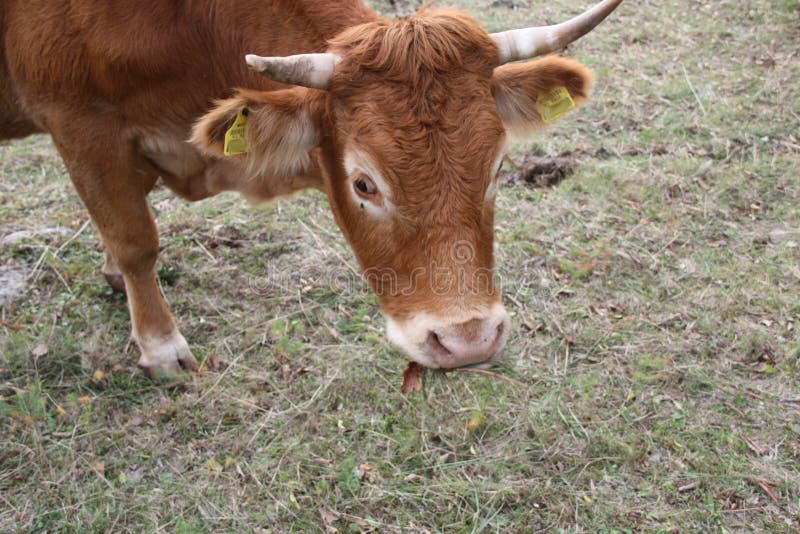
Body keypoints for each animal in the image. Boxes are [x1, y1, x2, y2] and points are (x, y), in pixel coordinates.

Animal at [0, 0, 623, 376]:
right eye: (364, 183)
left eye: (497, 169)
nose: (469, 341)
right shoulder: (79, 123)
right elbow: (135, 240)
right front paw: (160, 346)